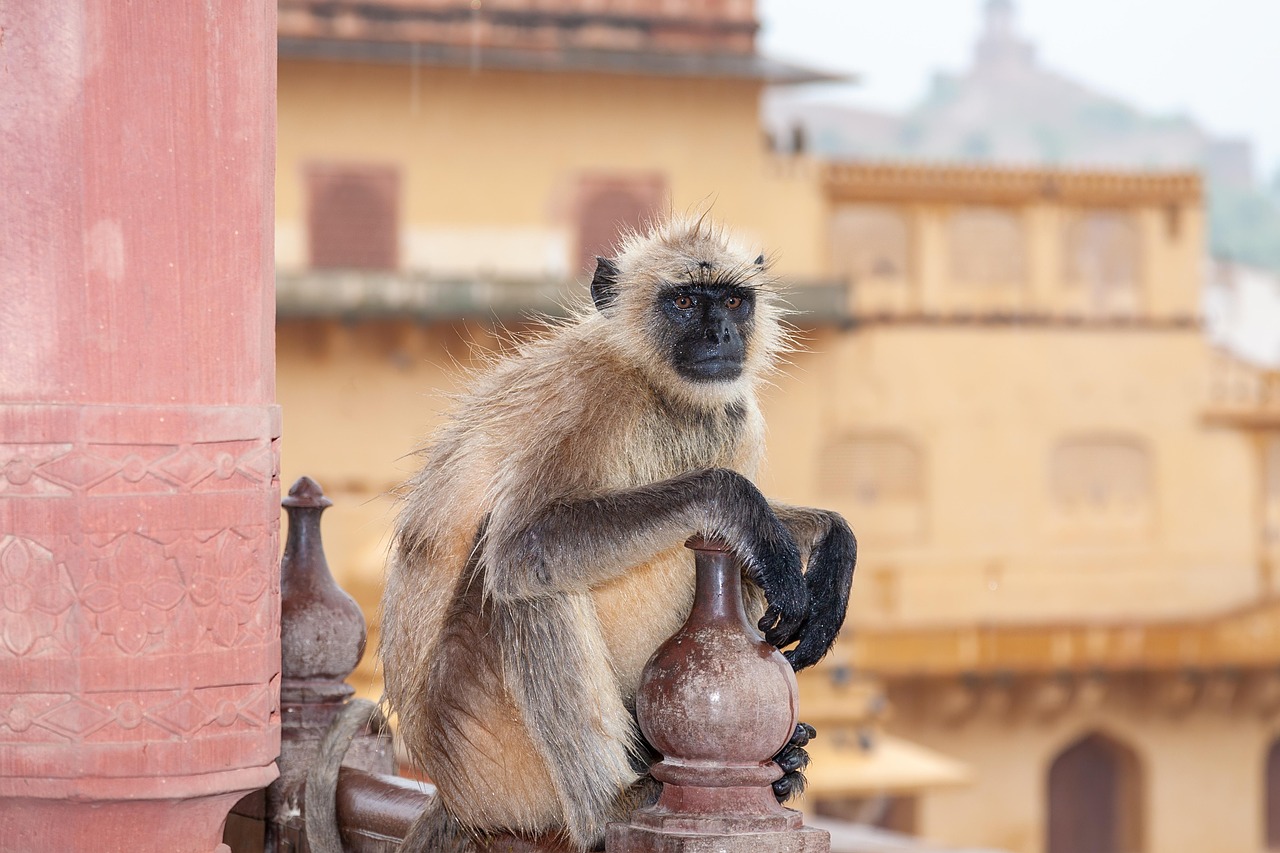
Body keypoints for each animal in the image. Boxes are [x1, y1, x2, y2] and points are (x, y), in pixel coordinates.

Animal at [377, 215, 857, 852]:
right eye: (683, 302)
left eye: (732, 300)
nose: (720, 335)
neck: (658, 391)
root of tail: (451, 799)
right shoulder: (590, 400)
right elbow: (525, 542)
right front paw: (742, 507)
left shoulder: (736, 417)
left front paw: (832, 542)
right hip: (483, 757)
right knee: (515, 579)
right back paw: (612, 805)